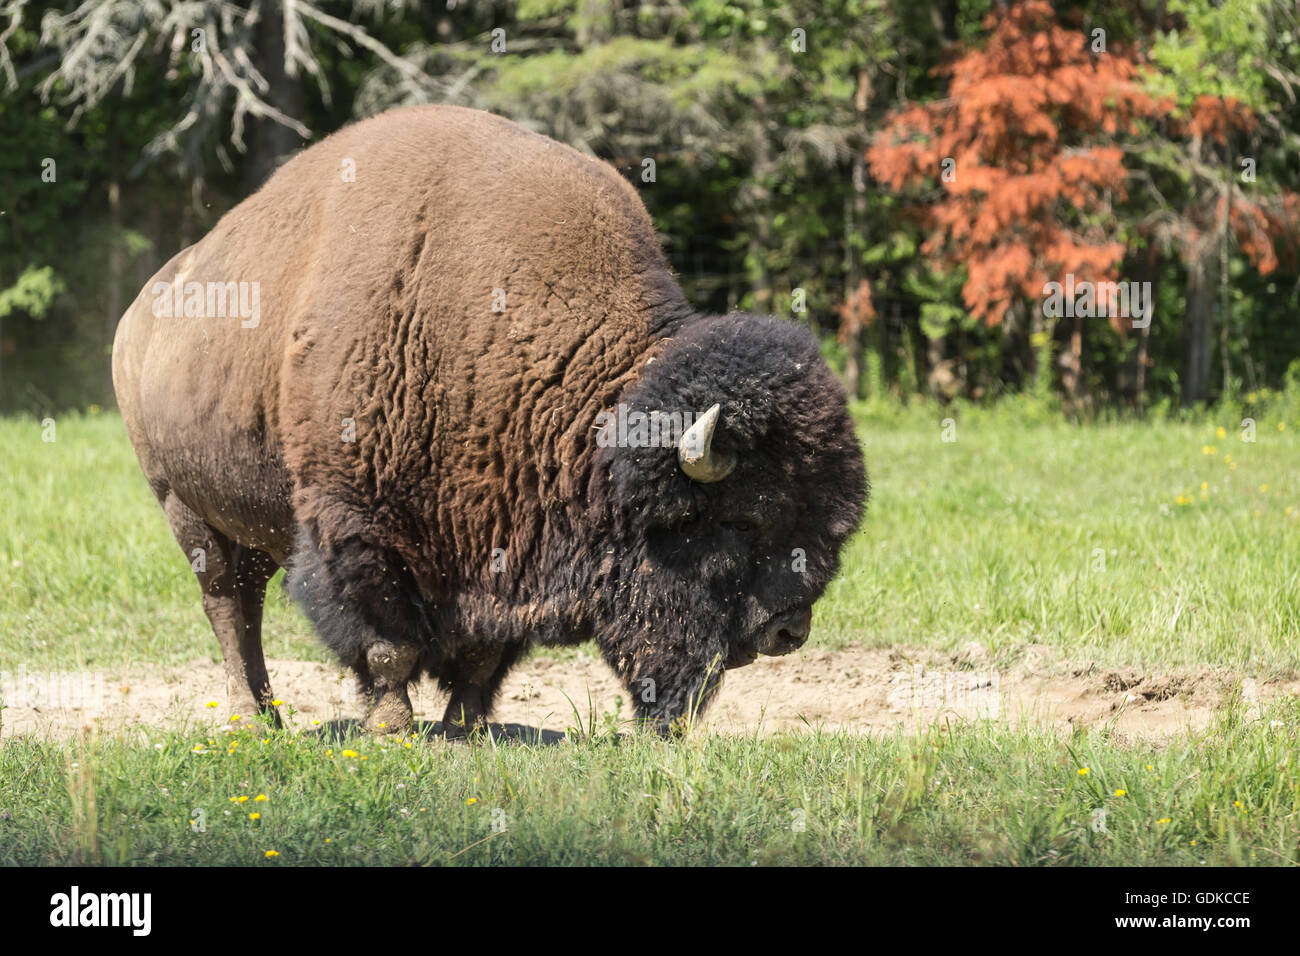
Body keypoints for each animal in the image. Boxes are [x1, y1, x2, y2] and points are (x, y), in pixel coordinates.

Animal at [113, 105, 867, 736]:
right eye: (744, 519)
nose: (787, 632)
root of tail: (139, 314)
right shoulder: (356, 526)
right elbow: (386, 642)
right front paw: (392, 726)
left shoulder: (504, 533)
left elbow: (484, 651)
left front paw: (466, 726)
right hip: (184, 507)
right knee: (229, 607)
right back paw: (251, 720)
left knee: (245, 600)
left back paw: (271, 715)